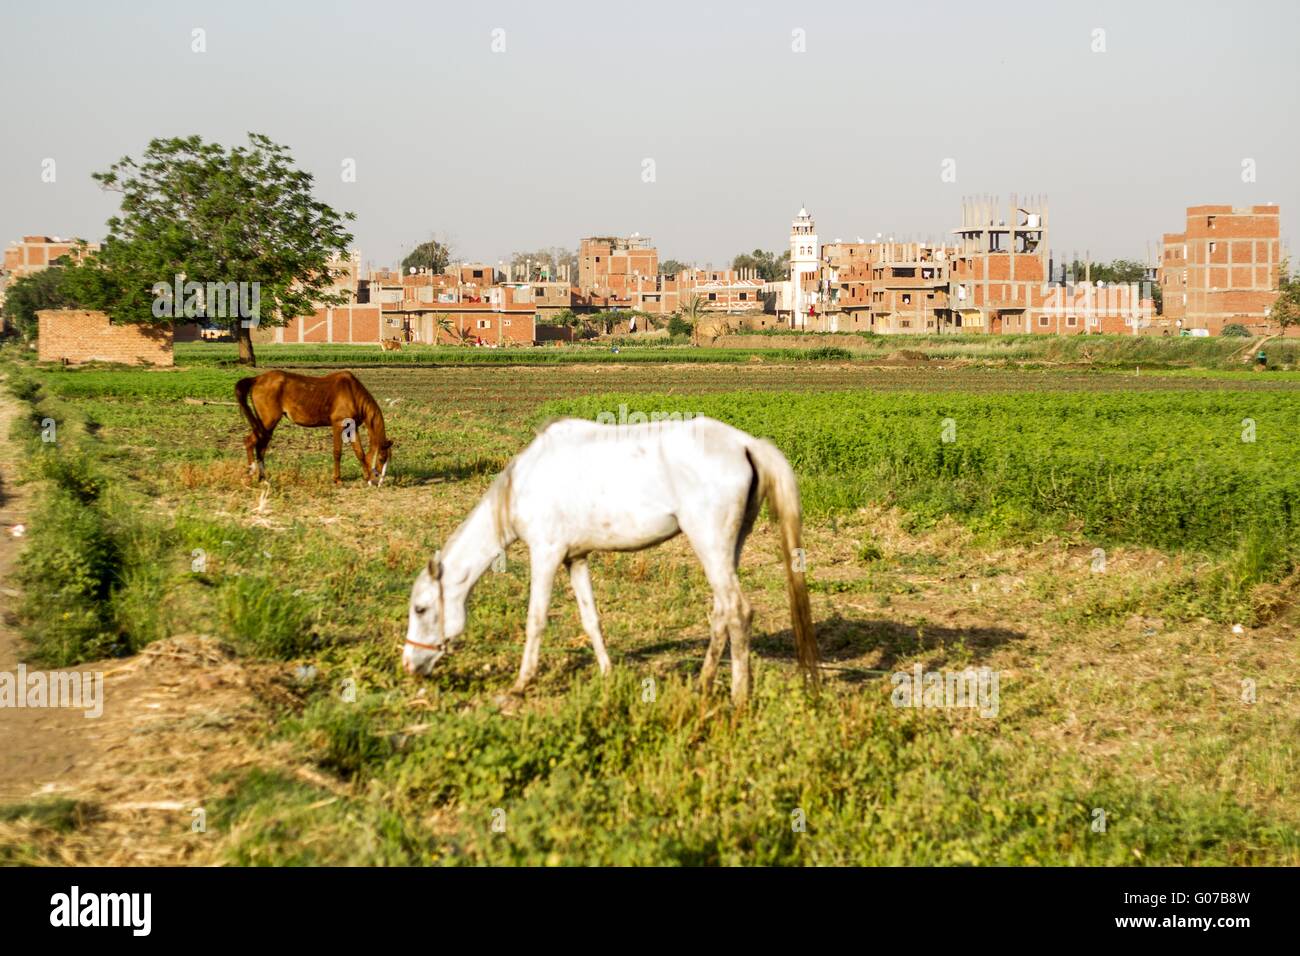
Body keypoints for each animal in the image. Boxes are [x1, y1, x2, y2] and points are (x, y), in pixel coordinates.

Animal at [235, 370, 394, 485]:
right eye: (381, 459)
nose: (378, 482)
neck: (352, 392)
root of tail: (257, 378)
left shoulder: (352, 427)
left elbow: (360, 452)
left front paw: (366, 477)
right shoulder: (338, 425)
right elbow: (337, 452)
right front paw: (337, 479)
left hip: (266, 426)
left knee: (260, 448)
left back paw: (263, 478)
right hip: (268, 422)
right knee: (250, 442)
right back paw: (251, 474)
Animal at [402, 416, 818, 705]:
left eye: (421, 609)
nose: (408, 665)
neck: (527, 480)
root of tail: (746, 444)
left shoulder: (546, 555)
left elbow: (535, 620)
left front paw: (520, 685)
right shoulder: (576, 559)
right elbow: (591, 620)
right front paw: (606, 673)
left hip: (711, 545)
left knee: (738, 611)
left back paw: (738, 698)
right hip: (729, 549)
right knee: (721, 614)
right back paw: (702, 684)